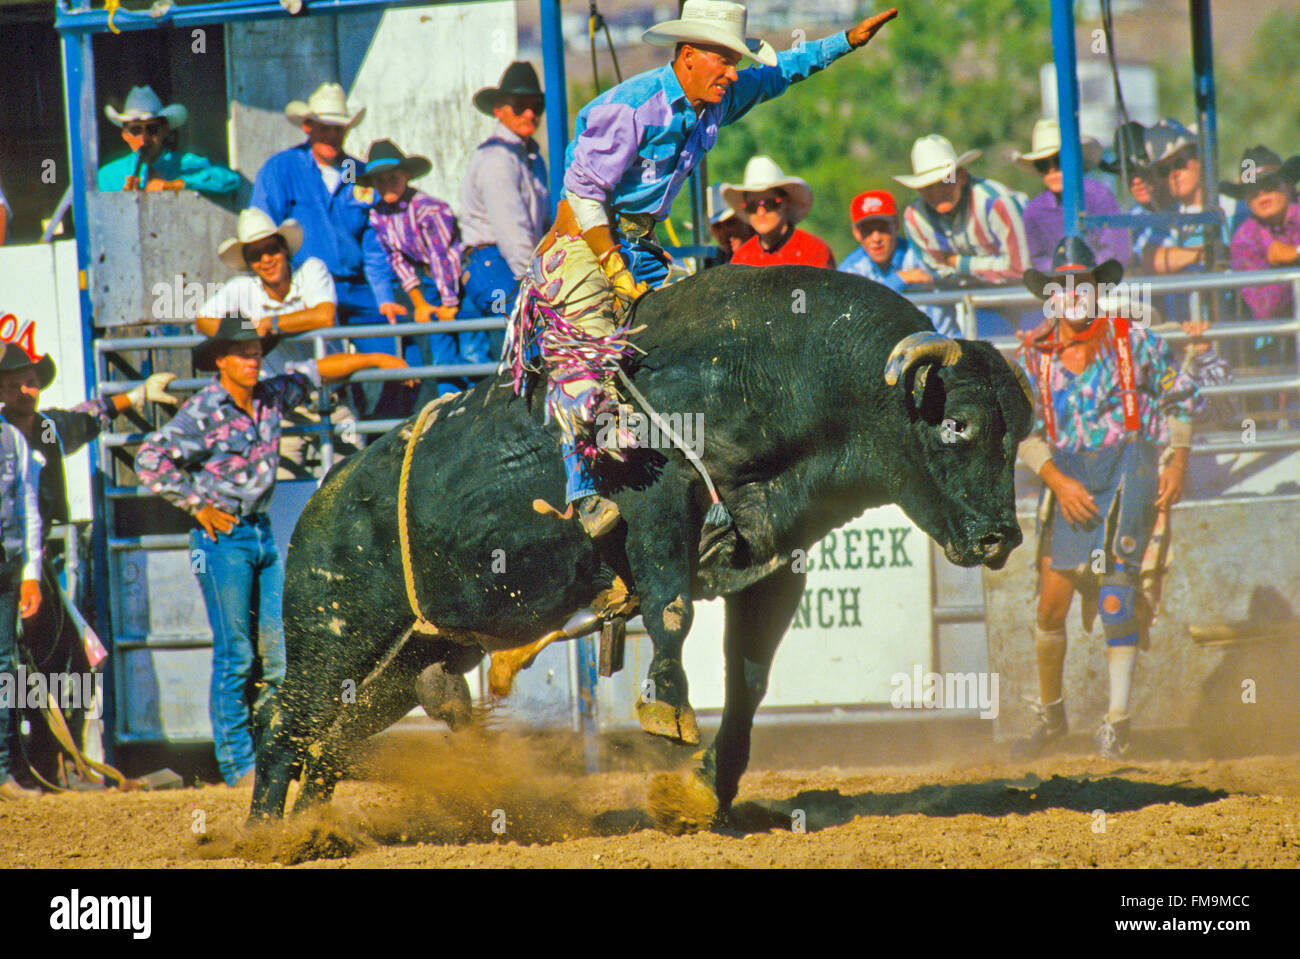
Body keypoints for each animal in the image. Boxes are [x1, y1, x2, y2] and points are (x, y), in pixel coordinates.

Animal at [248, 265, 1033, 831]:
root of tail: (318, 503)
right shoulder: (654, 504)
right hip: (335, 633)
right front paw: (667, 710)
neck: (767, 369)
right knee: (282, 719)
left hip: (414, 650)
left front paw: (701, 793)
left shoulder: (770, 563)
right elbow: (672, 610)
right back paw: (266, 834)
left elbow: (749, 680)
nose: (1003, 536)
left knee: (333, 736)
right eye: (958, 424)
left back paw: (316, 826)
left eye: (1019, 431)